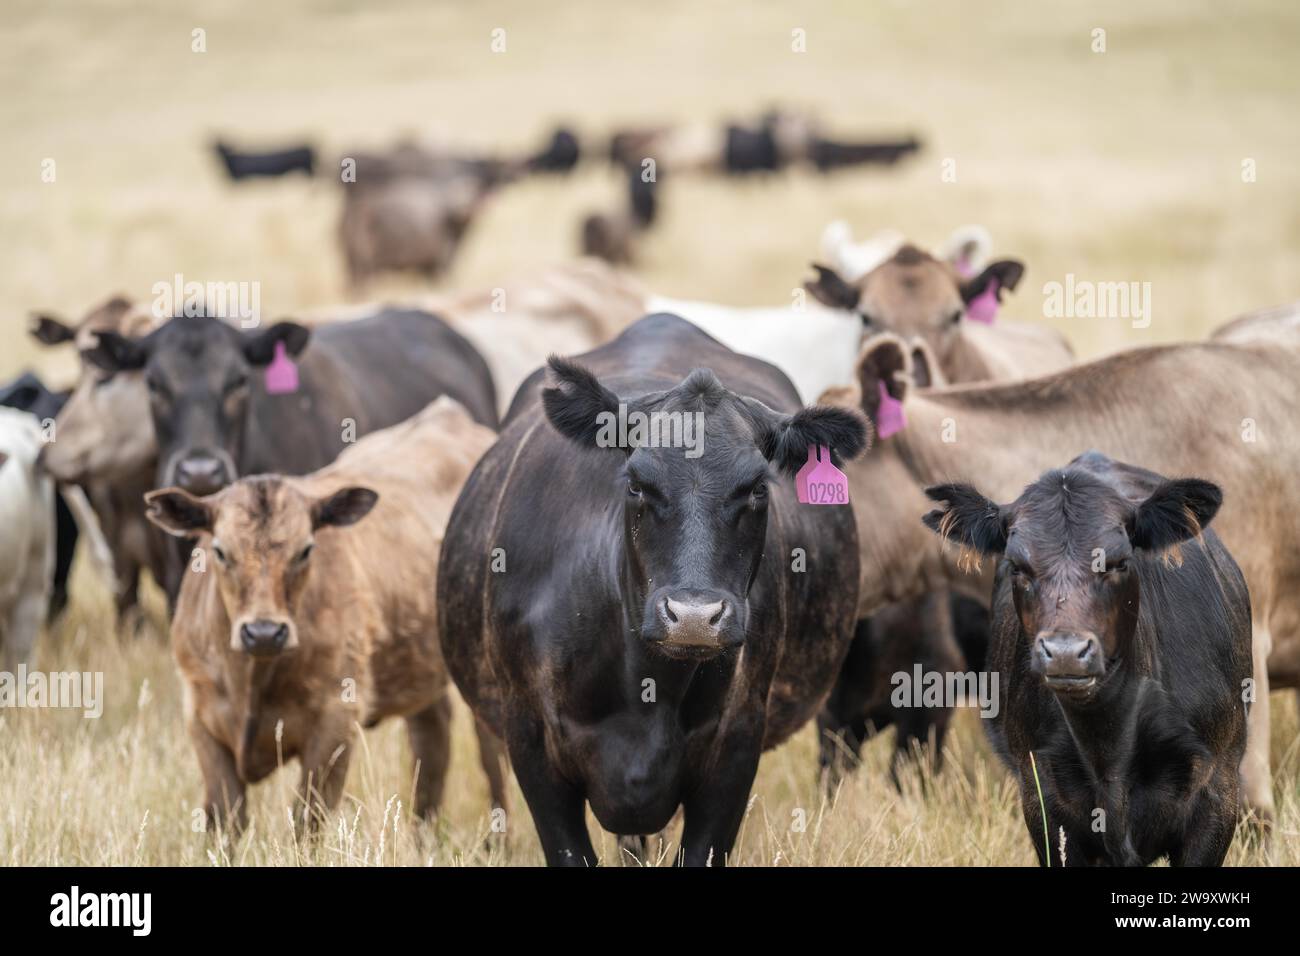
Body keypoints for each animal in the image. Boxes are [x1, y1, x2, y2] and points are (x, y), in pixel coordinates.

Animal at [145, 398, 507, 833]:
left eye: (305, 550)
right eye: (219, 551)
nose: (263, 632)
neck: (251, 677)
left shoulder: (335, 723)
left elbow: (308, 818)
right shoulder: (201, 719)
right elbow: (226, 815)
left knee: (492, 759)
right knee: (431, 740)